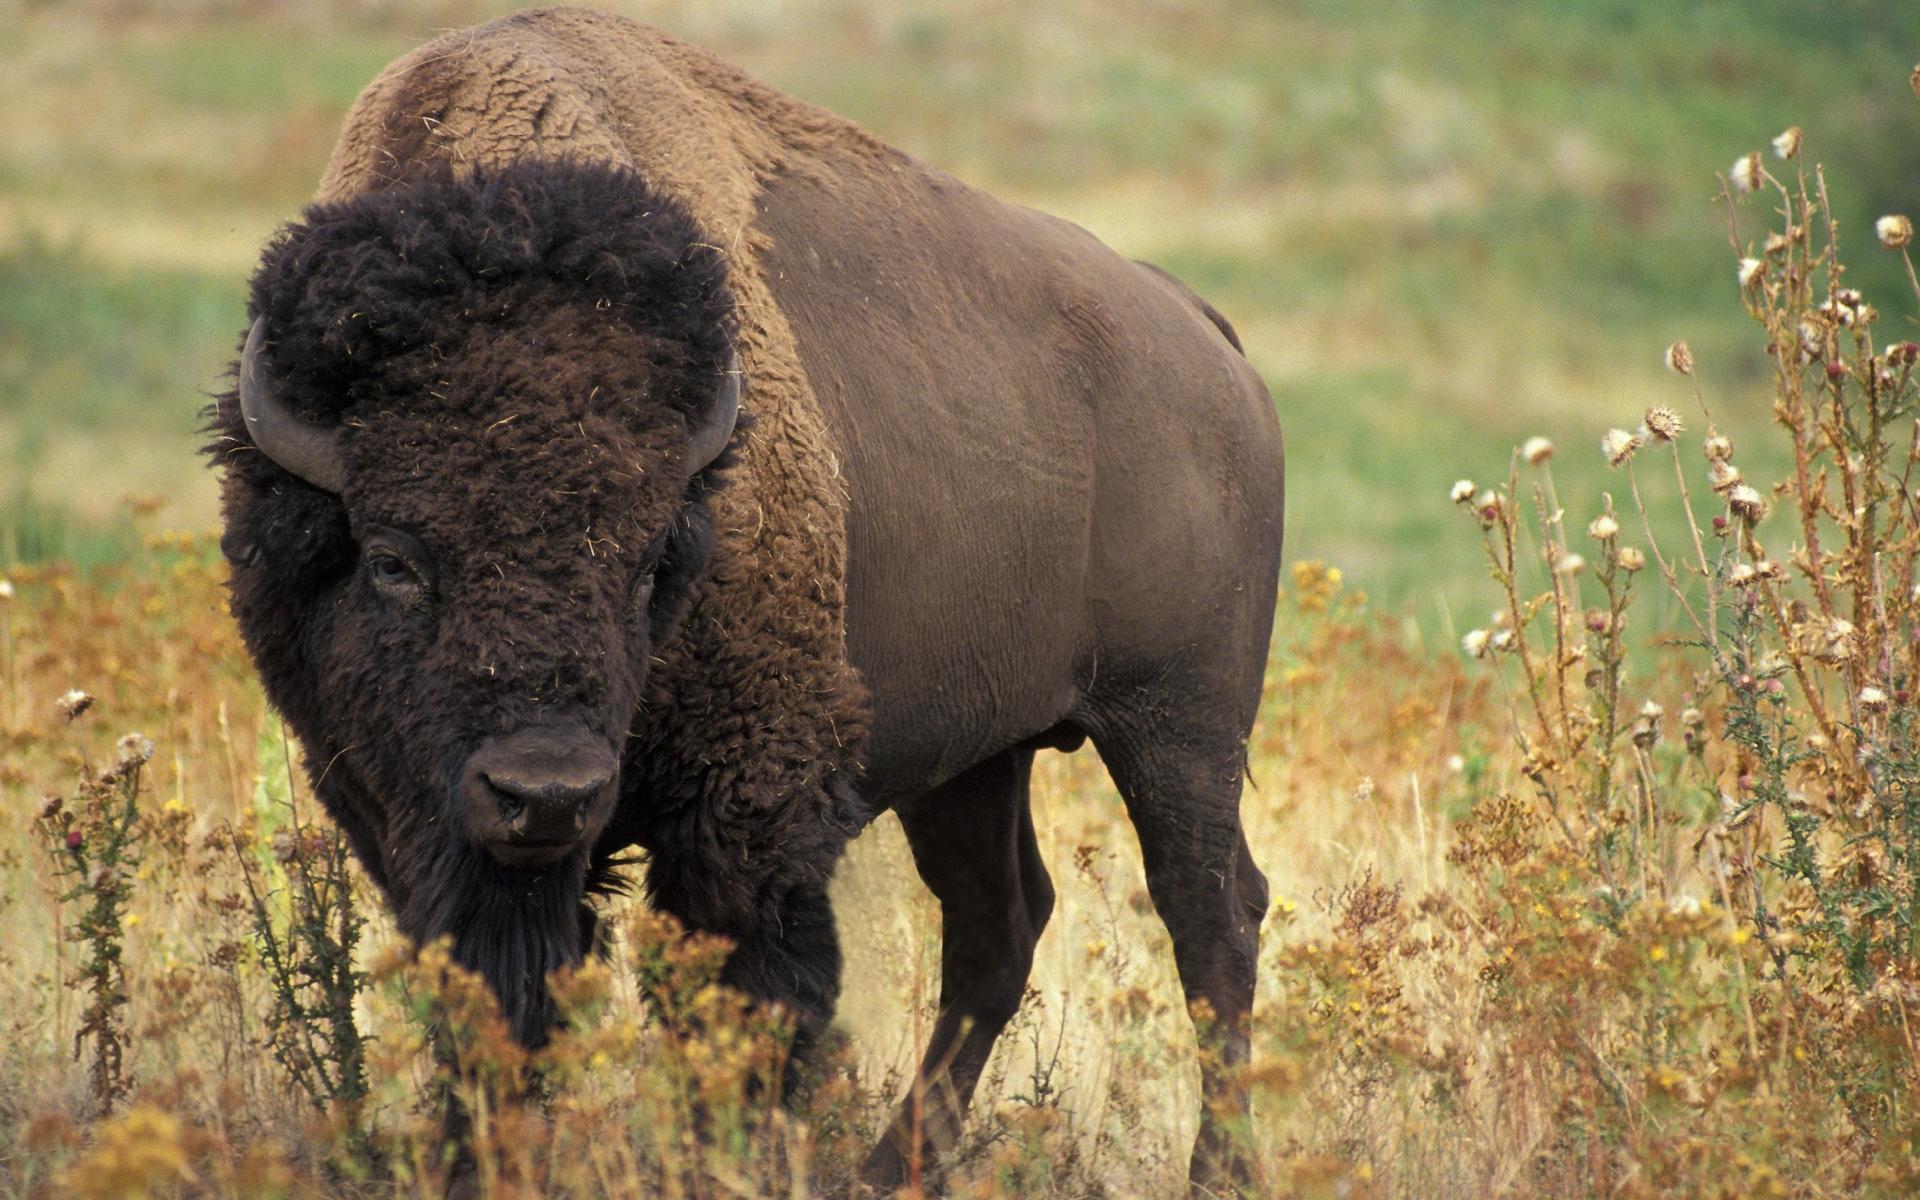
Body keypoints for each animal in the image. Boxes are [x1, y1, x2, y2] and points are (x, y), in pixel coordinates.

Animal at [210, 6, 1283, 1193]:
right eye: (394, 558)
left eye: (649, 563)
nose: (546, 792)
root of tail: (1199, 331)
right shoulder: (407, 818)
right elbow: (495, 1005)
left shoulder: (747, 806)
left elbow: (746, 1004)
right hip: (977, 753)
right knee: (999, 924)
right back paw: (889, 1169)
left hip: (1179, 725)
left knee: (1210, 917)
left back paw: (1215, 1169)